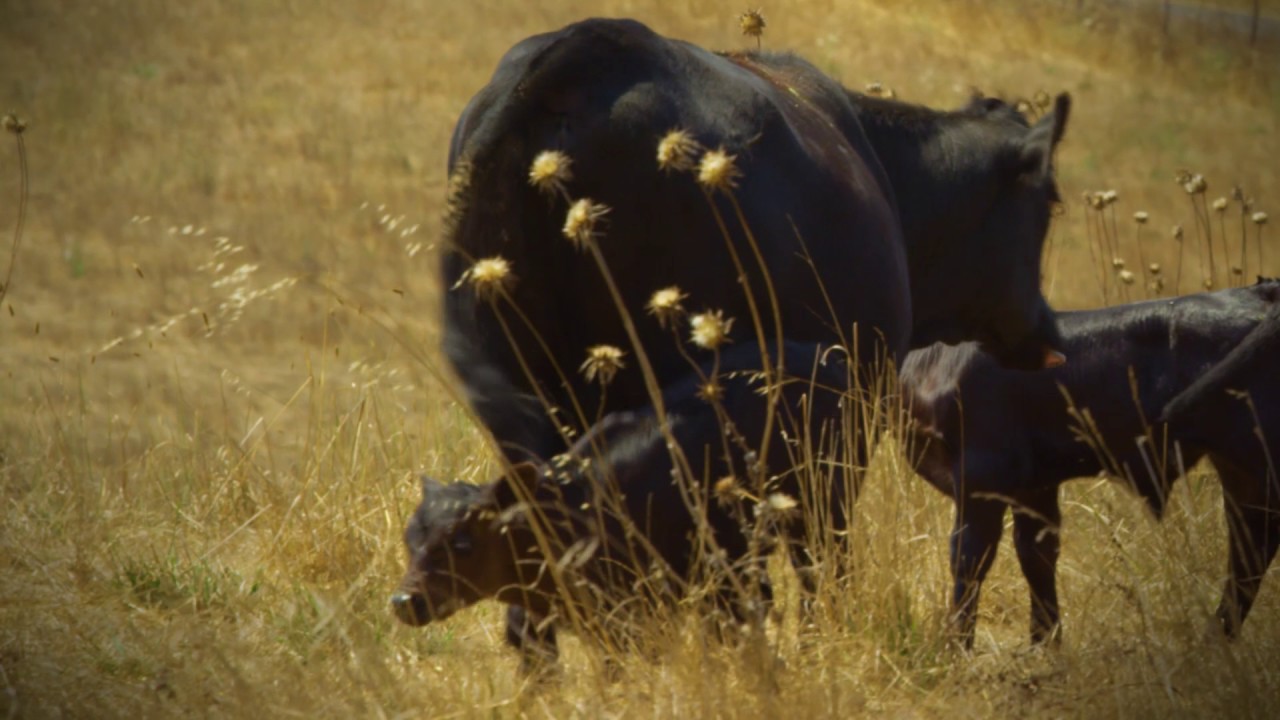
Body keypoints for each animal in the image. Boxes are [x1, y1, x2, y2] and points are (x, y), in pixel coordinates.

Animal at [391, 341, 856, 673]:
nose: (404, 600)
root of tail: (826, 359)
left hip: (823, 520)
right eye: (410, 539)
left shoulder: (639, 619)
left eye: (463, 542)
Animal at [900, 278, 1280, 648]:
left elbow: (969, 560)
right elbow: (1037, 556)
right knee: (1251, 548)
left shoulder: (981, 475)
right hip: (1241, 469)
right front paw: (1044, 647)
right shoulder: (1034, 487)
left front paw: (958, 650)